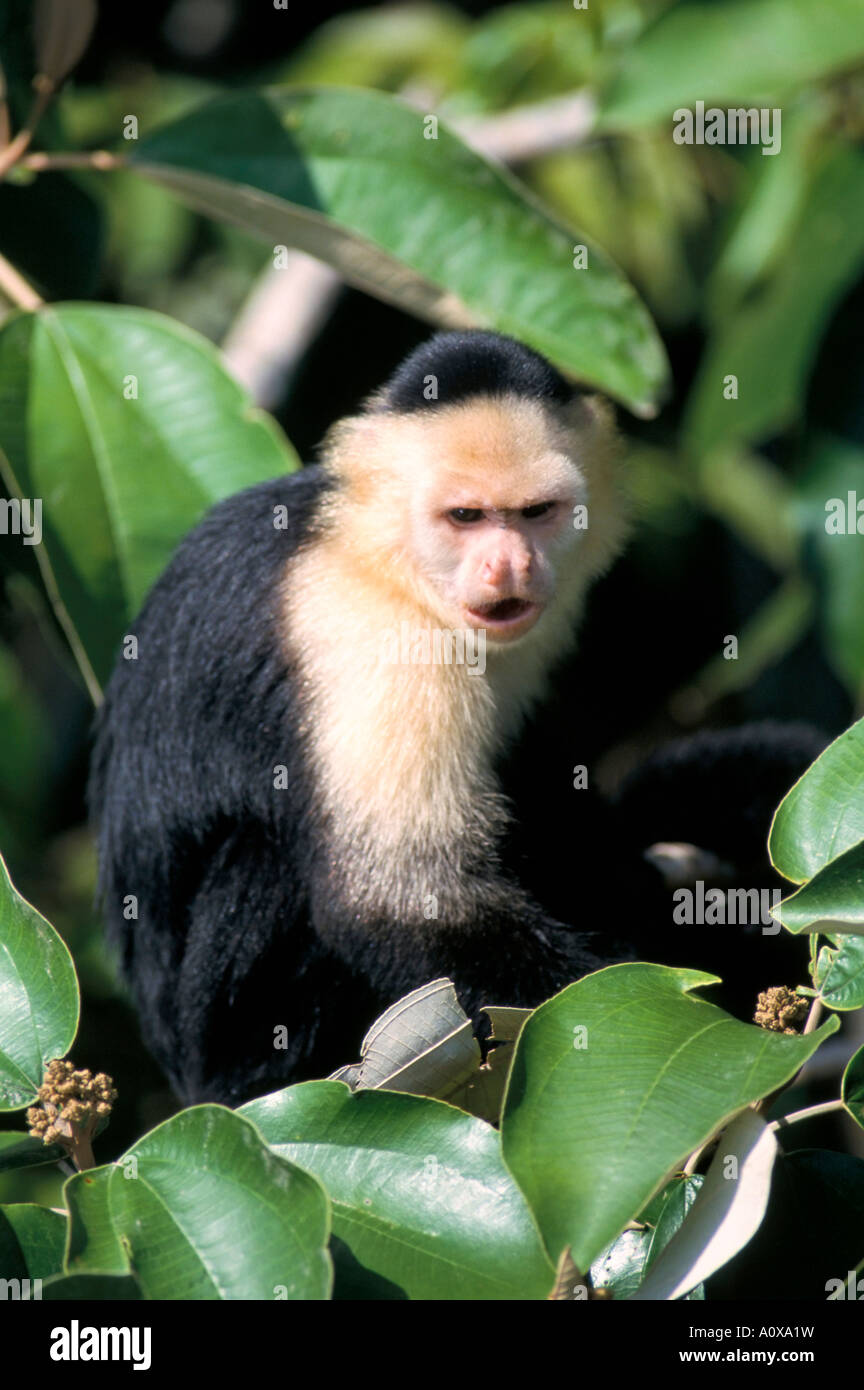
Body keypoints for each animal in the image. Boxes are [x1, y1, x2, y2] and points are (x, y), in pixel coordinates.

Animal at [89, 330, 825, 1107]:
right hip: (222, 1053)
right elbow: (402, 901)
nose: (508, 568)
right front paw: (670, 1005)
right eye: (466, 517)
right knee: (267, 862)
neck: (386, 558)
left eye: (536, 512)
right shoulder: (374, 634)